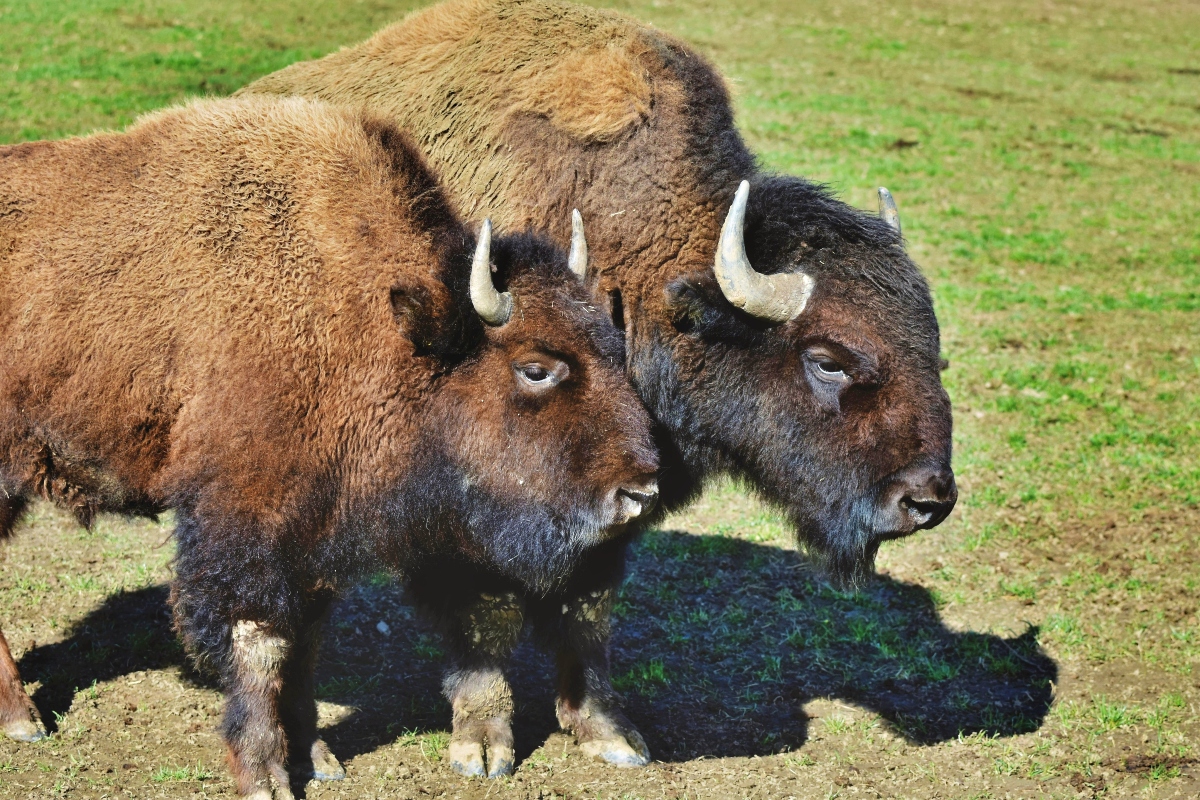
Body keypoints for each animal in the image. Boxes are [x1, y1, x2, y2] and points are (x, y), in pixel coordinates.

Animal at [0, 95, 660, 797]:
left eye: (615, 348)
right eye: (535, 368)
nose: (641, 488)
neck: (370, 321)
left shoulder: (315, 537)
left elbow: (306, 645)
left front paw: (317, 757)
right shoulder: (247, 524)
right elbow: (260, 644)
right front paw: (265, 775)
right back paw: (24, 721)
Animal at [242, 0, 960, 772]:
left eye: (932, 343)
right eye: (827, 358)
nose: (927, 500)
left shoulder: (620, 501)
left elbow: (587, 612)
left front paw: (611, 734)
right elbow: (485, 616)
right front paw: (484, 746)